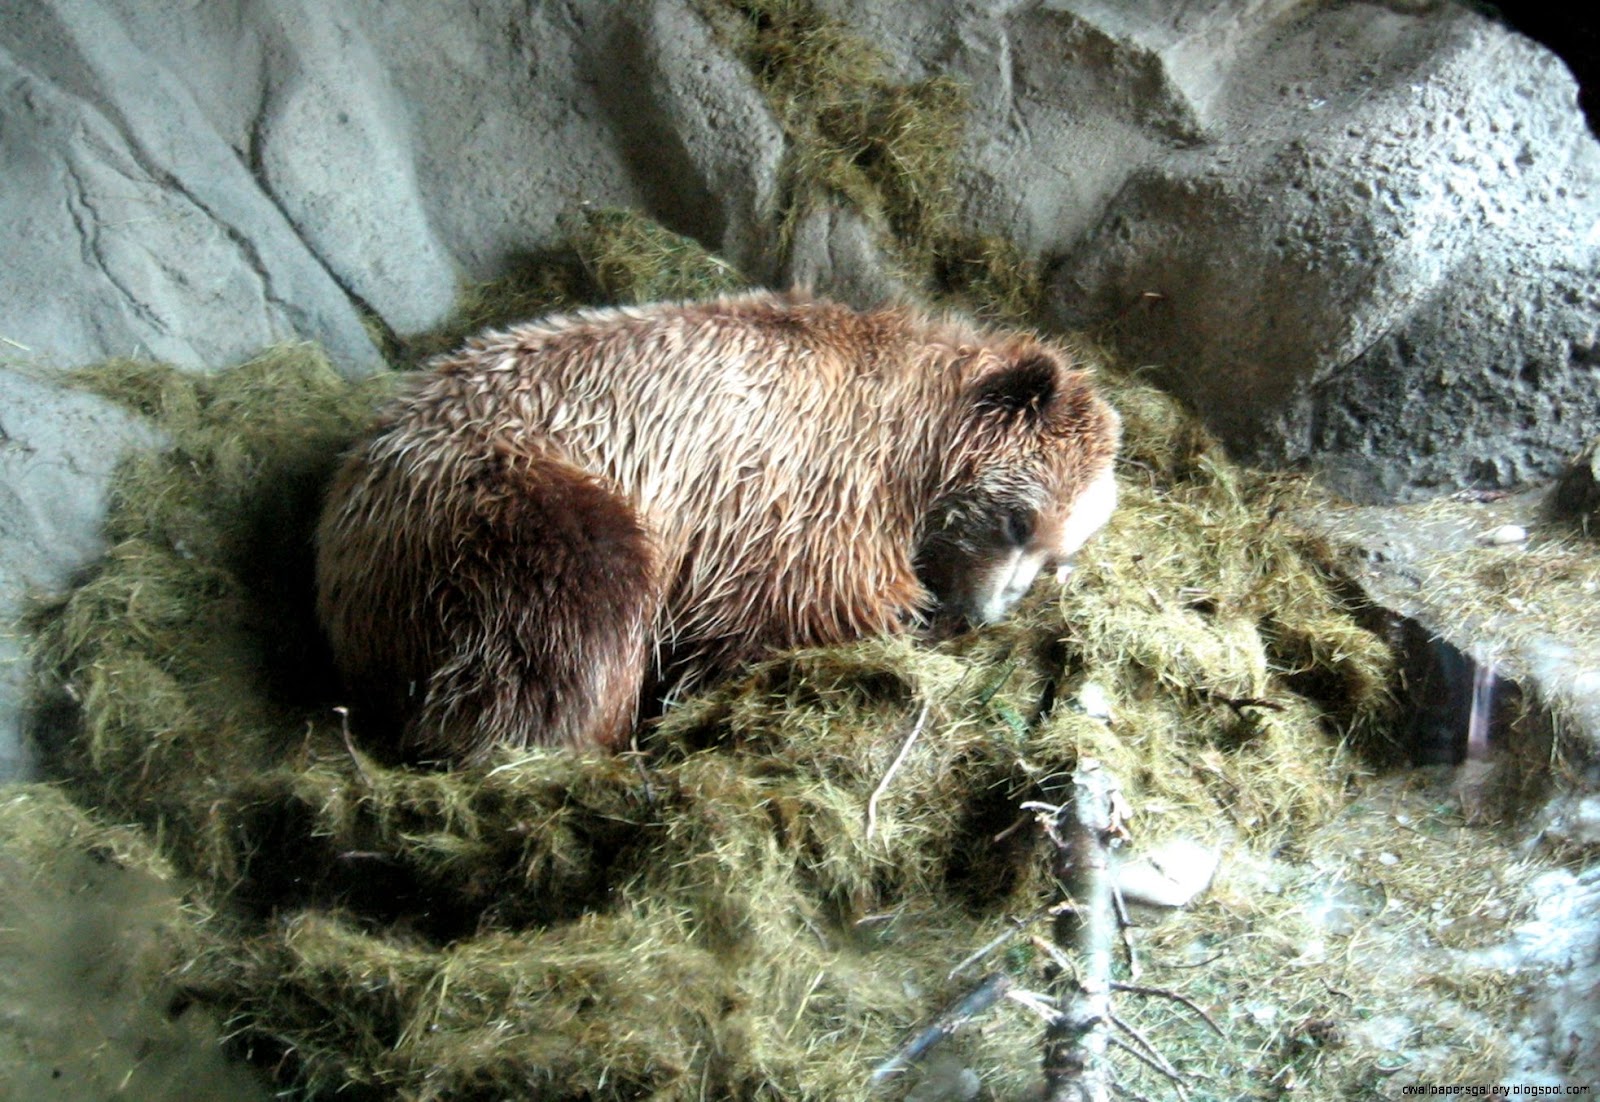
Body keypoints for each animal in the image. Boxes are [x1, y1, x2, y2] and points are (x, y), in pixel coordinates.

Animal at [314, 291, 1120, 765]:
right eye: (1019, 522)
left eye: (1055, 556)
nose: (988, 613)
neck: (914, 441)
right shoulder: (794, 483)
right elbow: (803, 604)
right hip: (501, 498)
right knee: (561, 625)